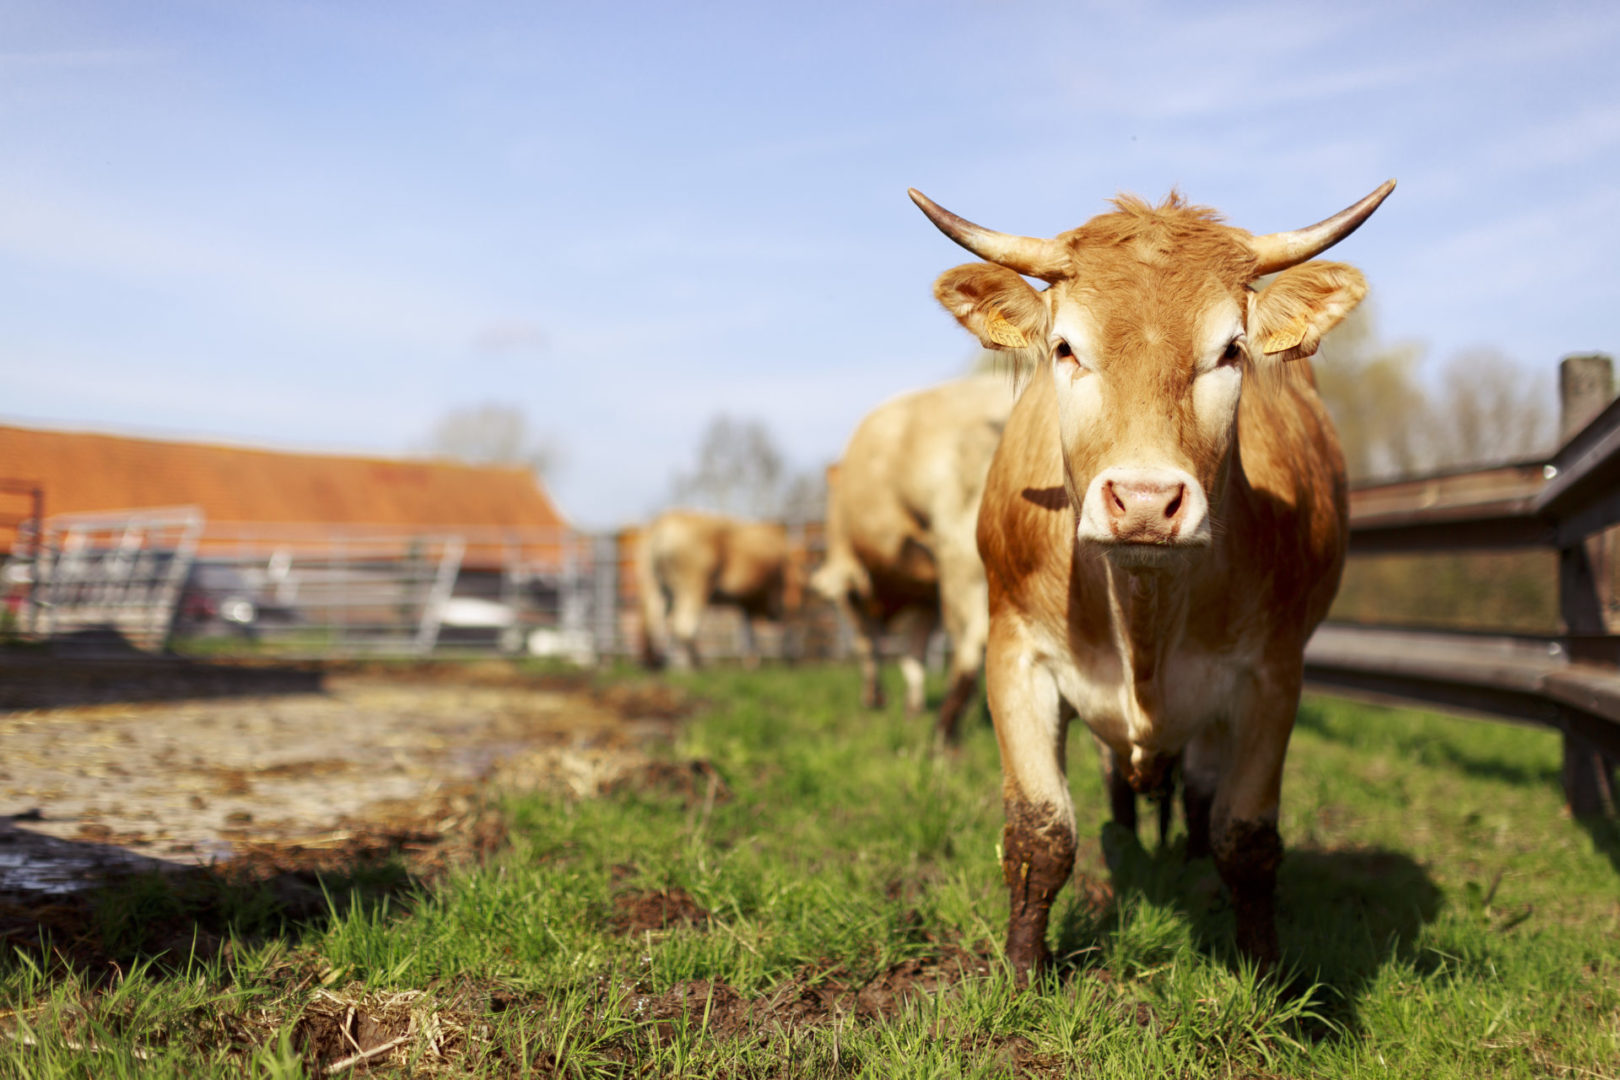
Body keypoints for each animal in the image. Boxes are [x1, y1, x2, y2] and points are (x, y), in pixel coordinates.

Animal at [631, 508, 790, 667]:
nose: (775, 615)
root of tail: (662, 527)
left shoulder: (747, 601)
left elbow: (747, 630)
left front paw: (751, 659)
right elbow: (748, 630)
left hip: (655, 584)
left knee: (655, 623)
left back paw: (665, 662)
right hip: (694, 585)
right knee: (683, 625)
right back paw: (693, 662)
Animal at [810, 378, 1010, 744]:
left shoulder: (850, 582)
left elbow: (866, 642)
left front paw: (874, 698)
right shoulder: (924, 595)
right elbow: (914, 653)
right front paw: (912, 707)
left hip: (961, 552)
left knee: (971, 637)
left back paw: (945, 728)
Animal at [913, 181, 1393, 977]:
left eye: (1230, 351)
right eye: (1065, 347)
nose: (1143, 501)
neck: (1144, 608)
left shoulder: (1270, 675)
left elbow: (1246, 837)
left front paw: (1264, 973)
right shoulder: (1015, 655)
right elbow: (1041, 831)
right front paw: (1022, 972)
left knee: (1200, 795)